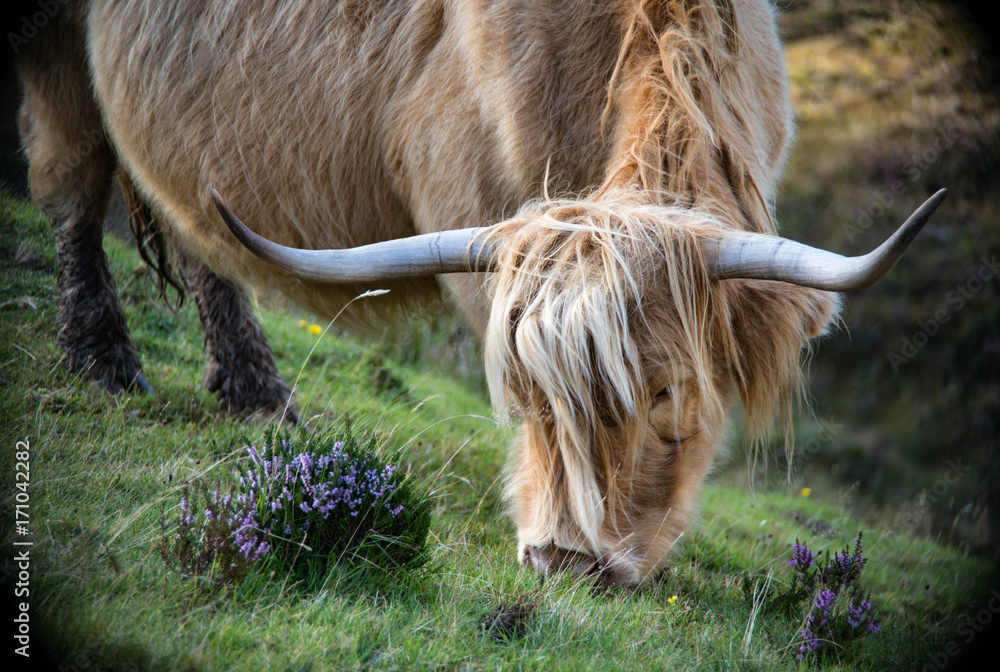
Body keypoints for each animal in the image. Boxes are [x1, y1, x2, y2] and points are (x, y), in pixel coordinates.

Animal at [15, 0, 943, 585]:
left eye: (663, 392)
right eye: (526, 395)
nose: (566, 561)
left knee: (189, 219)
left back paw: (254, 390)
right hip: (52, 41)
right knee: (73, 177)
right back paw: (105, 360)